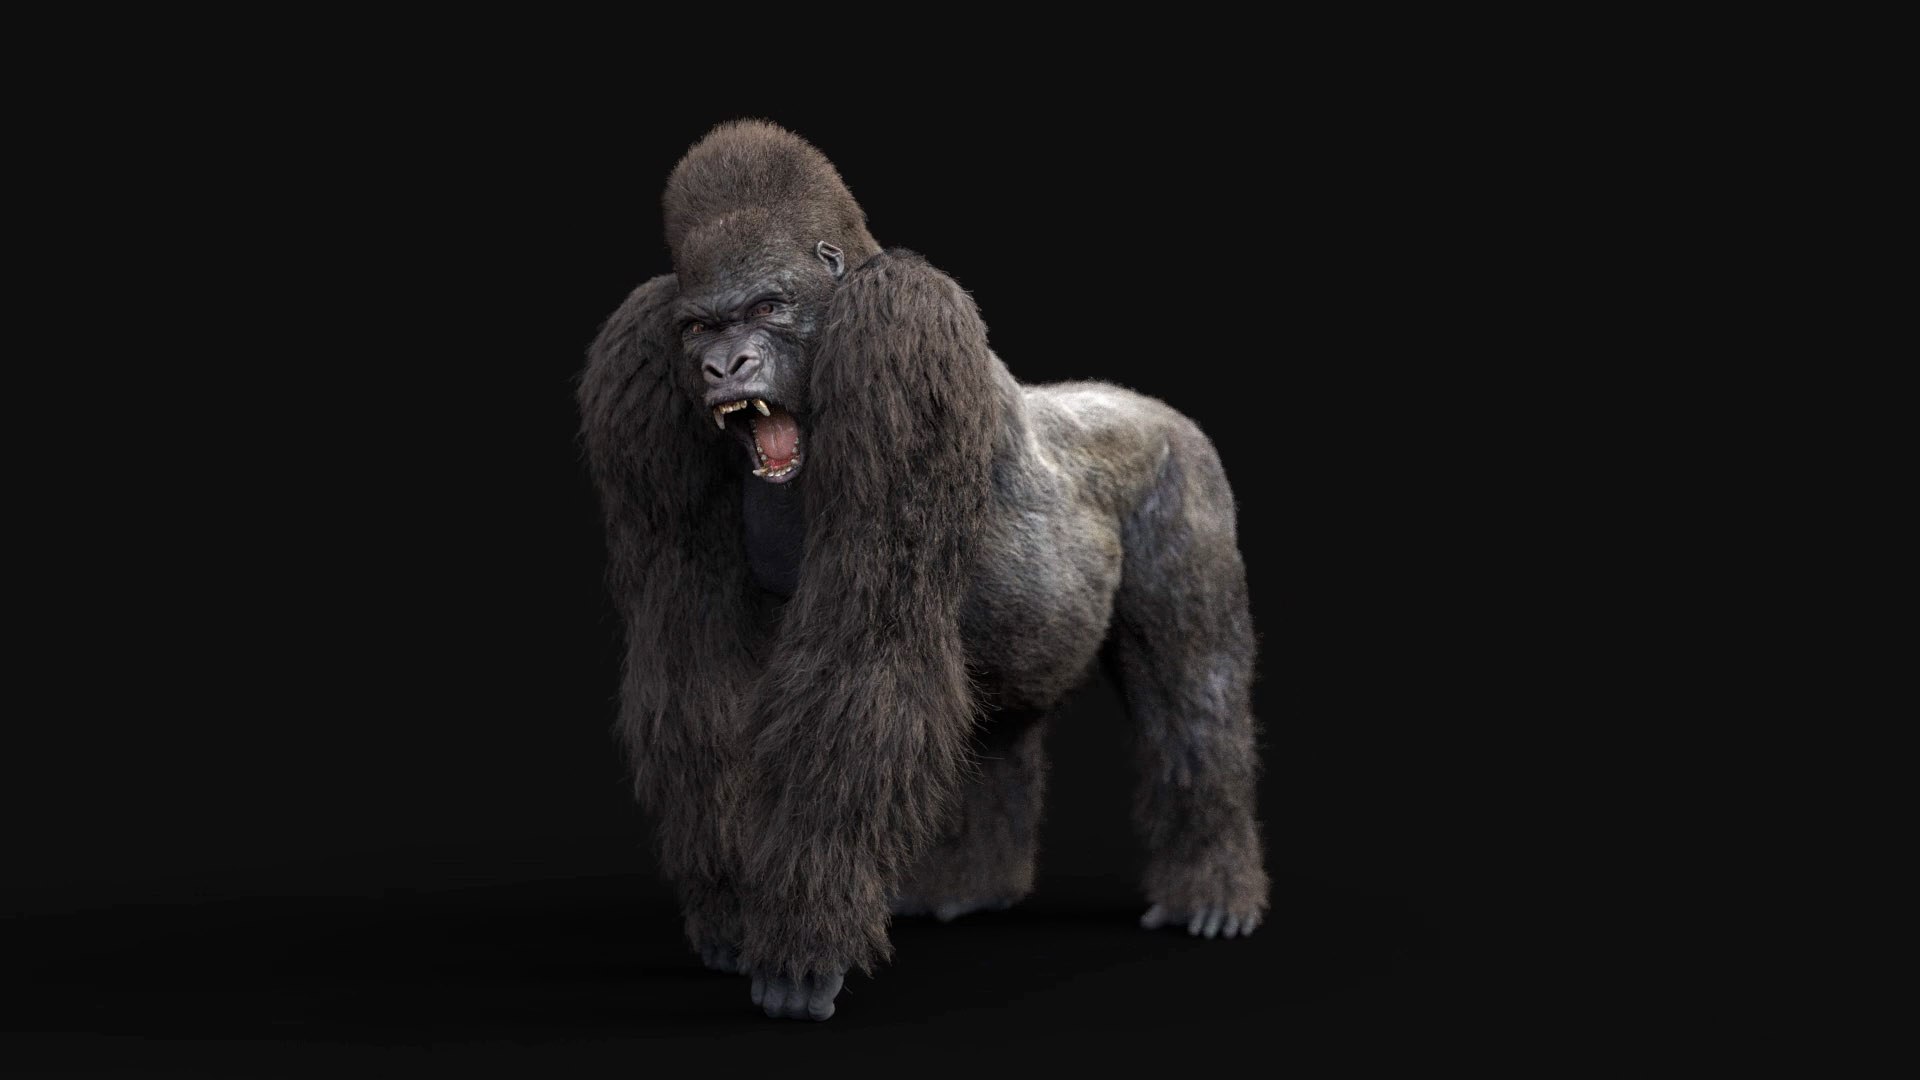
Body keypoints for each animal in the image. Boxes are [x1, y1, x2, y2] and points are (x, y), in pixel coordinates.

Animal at [577, 120, 1267, 1021]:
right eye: (699, 328)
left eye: (766, 308)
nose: (726, 368)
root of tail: (1160, 410)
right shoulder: (639, 367)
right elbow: (694, 666)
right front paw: (732, 917)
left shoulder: (898, 333)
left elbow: (863, 653)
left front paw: (801, 947)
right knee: (992, 722)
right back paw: (971, 885)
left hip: (1188, 475)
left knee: (1193, 697)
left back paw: (1210, 890)